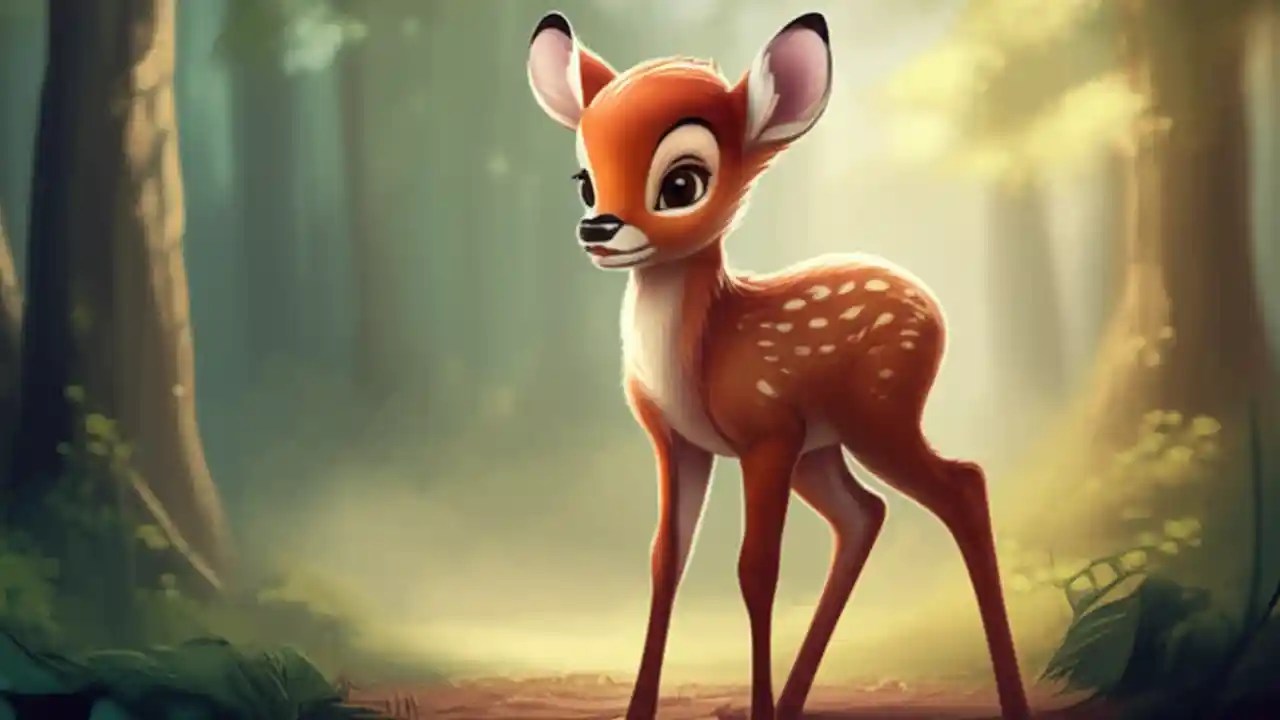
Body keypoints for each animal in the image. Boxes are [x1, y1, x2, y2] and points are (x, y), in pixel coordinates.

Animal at [526, 11, 1031, 720]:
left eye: (681, 183)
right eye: (585, 180)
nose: (598, 229)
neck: (701, 355)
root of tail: (933, 305)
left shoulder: (766, 432)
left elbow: (756, 568)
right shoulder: (678, 441)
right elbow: (666, 558)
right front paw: (639, 709)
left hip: (878, 414)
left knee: (963, 483)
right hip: (823, 448)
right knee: (864, 514)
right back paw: (792, 700)